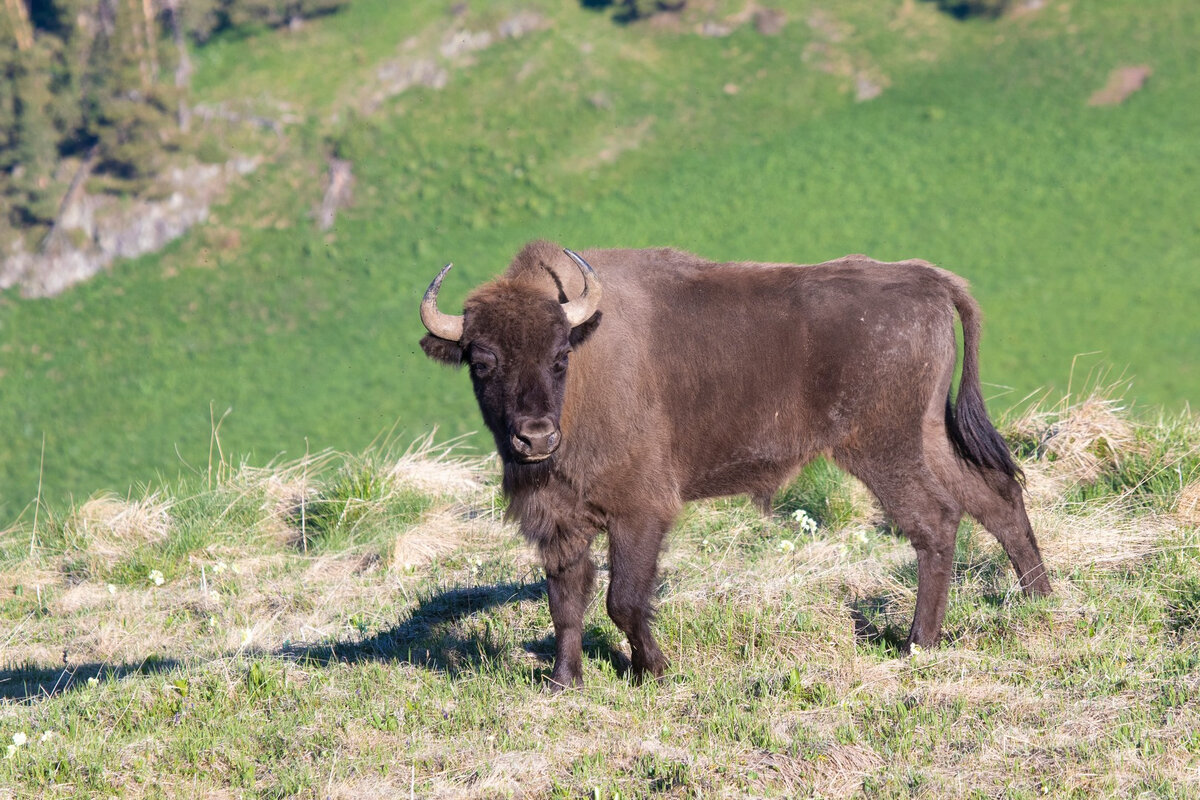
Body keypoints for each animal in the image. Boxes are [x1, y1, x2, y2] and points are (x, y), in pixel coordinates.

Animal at [420, 241, 1051, 690]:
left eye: (558, 357)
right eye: (482, 360)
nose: (535, 438)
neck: (587, 352)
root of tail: (929, 280)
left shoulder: (640, 513)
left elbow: (623, 599)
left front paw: (656, 671)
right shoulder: (559, 522)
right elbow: (566, 601)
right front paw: (563, 683)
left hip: (883, 448)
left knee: (937, 520)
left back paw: (919, 642)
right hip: (926, 435)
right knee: (995, 495)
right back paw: (1039, 599)